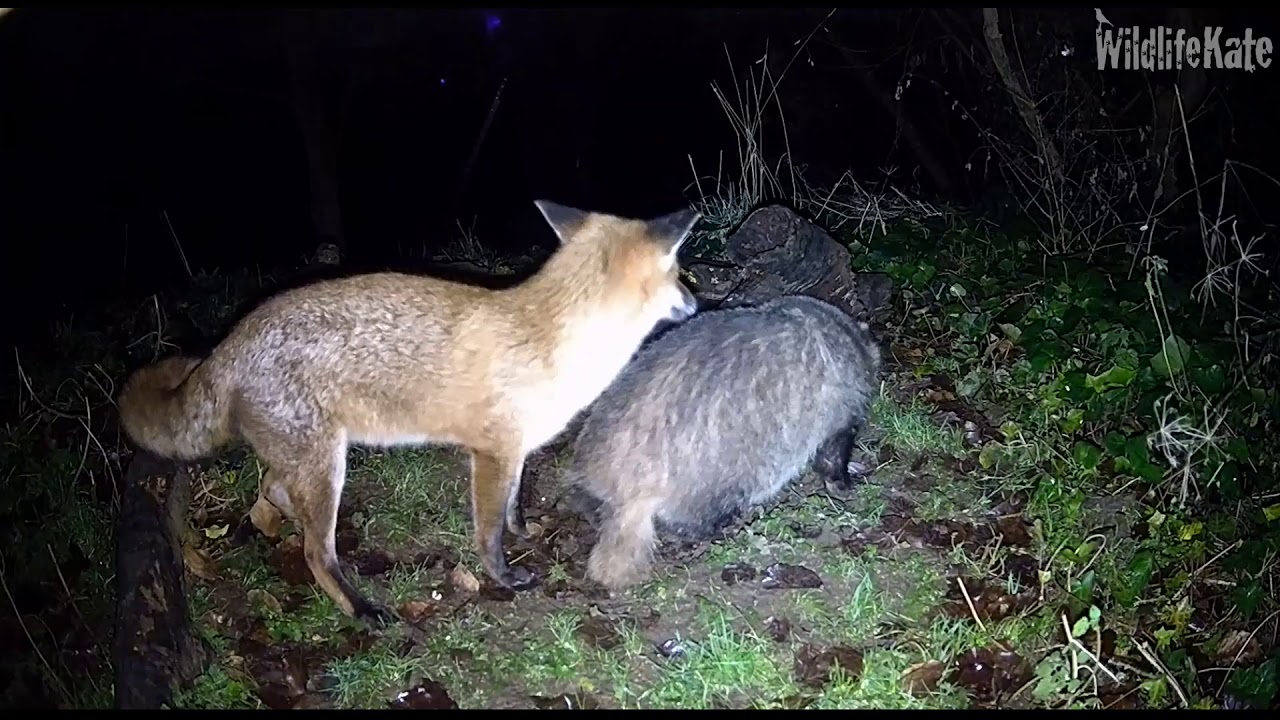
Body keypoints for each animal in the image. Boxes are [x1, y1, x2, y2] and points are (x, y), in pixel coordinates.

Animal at [115, 200, 702, 623]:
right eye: (681, 273)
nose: (698, 306)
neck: (552, 340)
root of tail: (228, 343)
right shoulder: (491, 452)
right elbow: (488, 531)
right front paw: (504, 577)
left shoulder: (514, 451)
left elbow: (513, 507)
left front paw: (524, 533)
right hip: (326, 468)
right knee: (315, 554)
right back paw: (359, 608)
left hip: (313, 461)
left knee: (275, 492)